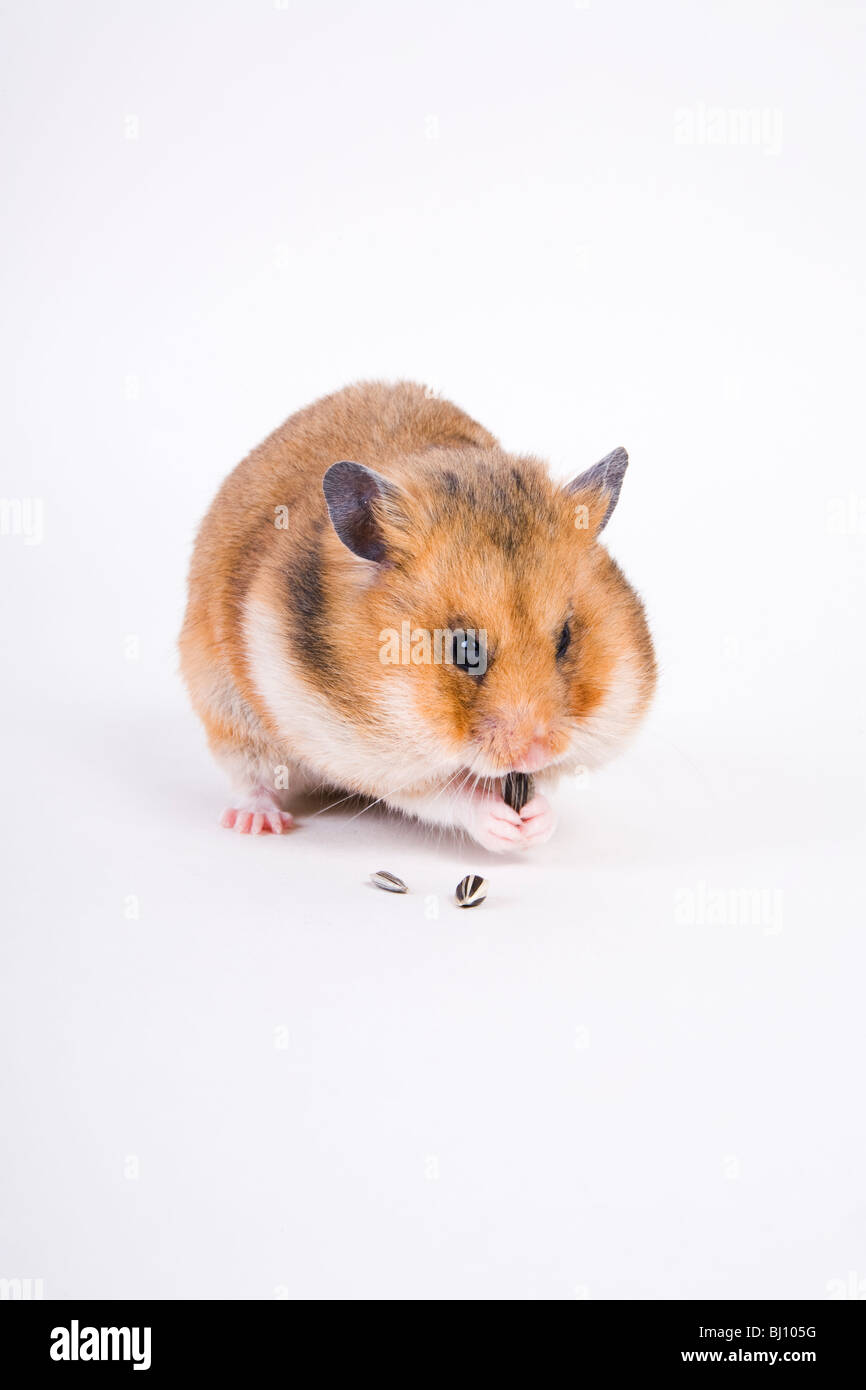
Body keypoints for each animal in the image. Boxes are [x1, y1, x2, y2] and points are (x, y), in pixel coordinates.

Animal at [179, 381, 655, 851]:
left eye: (565, 640)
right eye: (464, 650)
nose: (536, 752)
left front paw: (534, 823)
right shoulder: (364, 754)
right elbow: (444, 795)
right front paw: (504, 825)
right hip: (227, 709)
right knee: (252, 777)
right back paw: (256, 823)